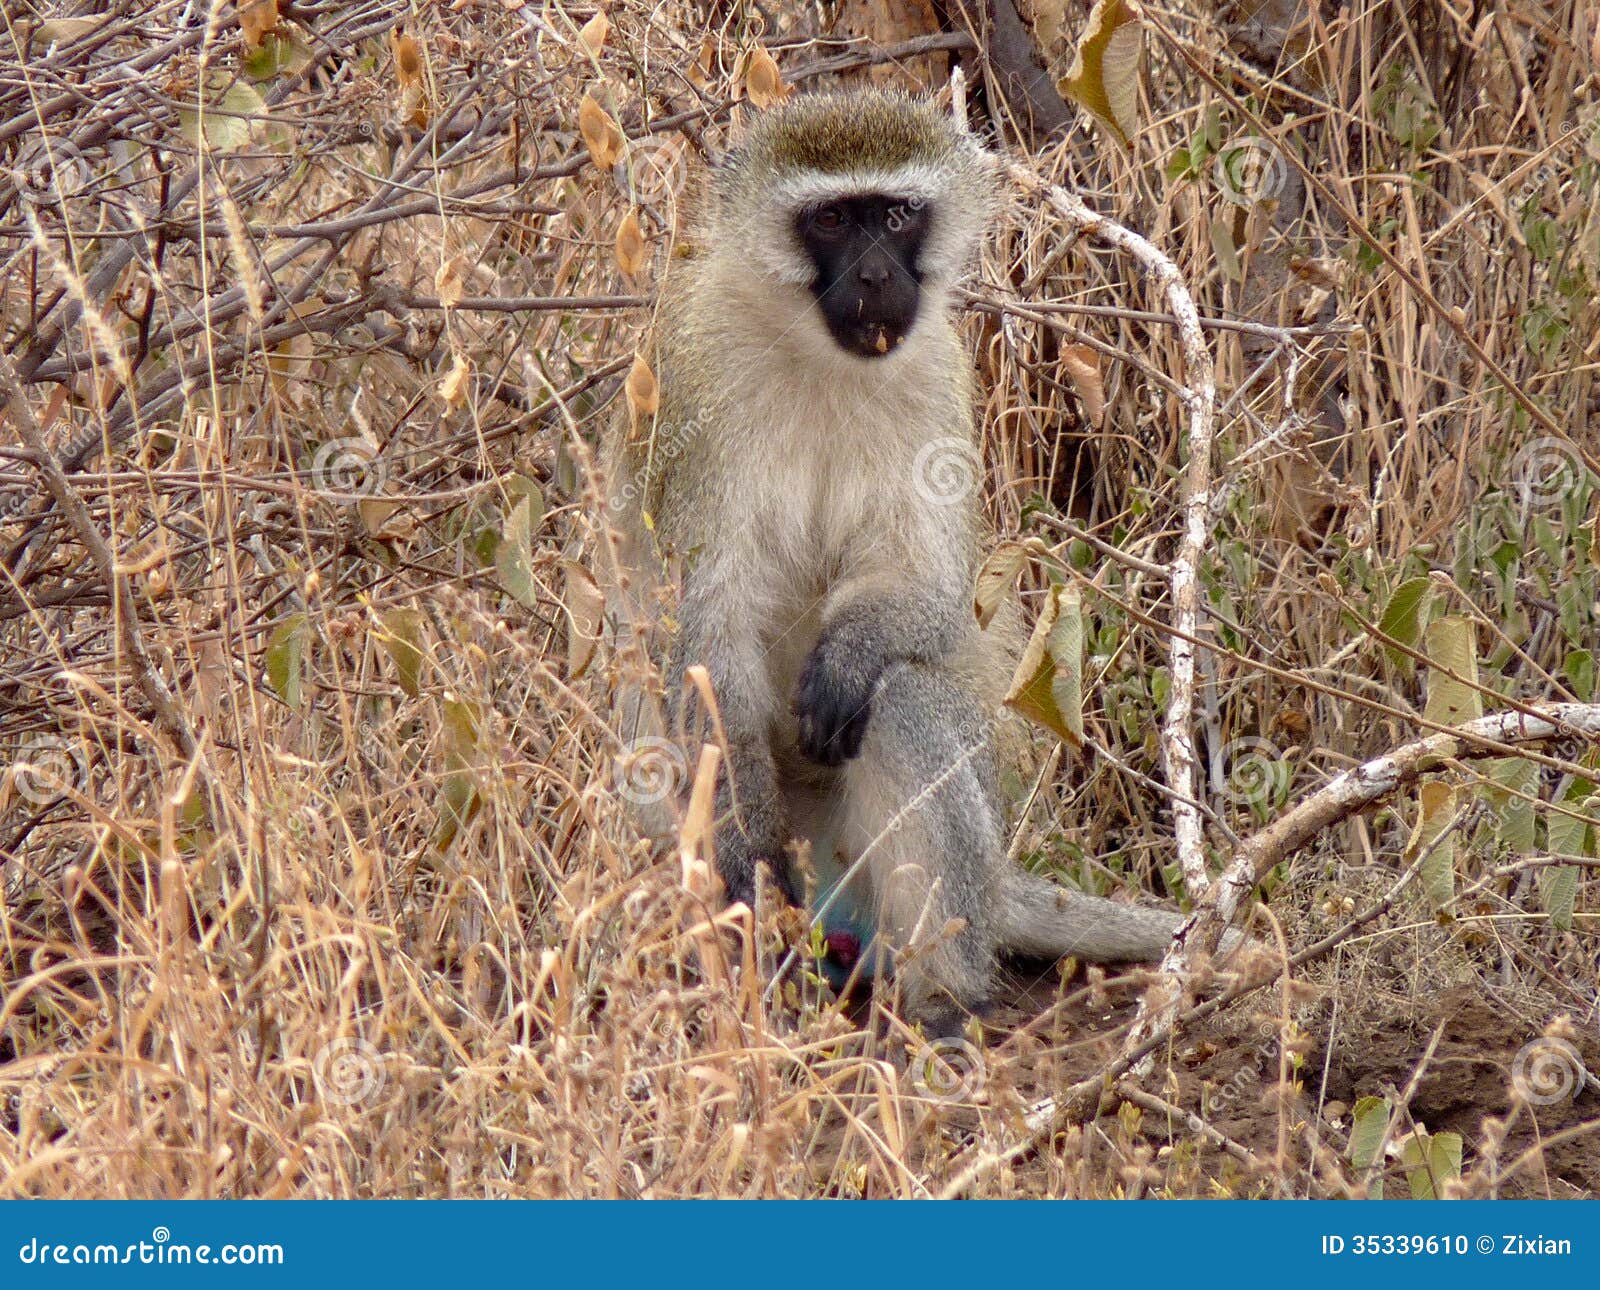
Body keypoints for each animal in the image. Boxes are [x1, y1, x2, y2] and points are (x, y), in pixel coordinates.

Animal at [600, 89, 1214, 1036]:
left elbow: (927, 588)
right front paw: (745, 864)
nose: (877, 278)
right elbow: (706, 628)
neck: (813, 355)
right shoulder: (695, 386)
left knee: (900, 703)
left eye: (894, 216)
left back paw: (943, 1007)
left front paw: (849, 657)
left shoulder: (937, 374)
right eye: (831, 220)